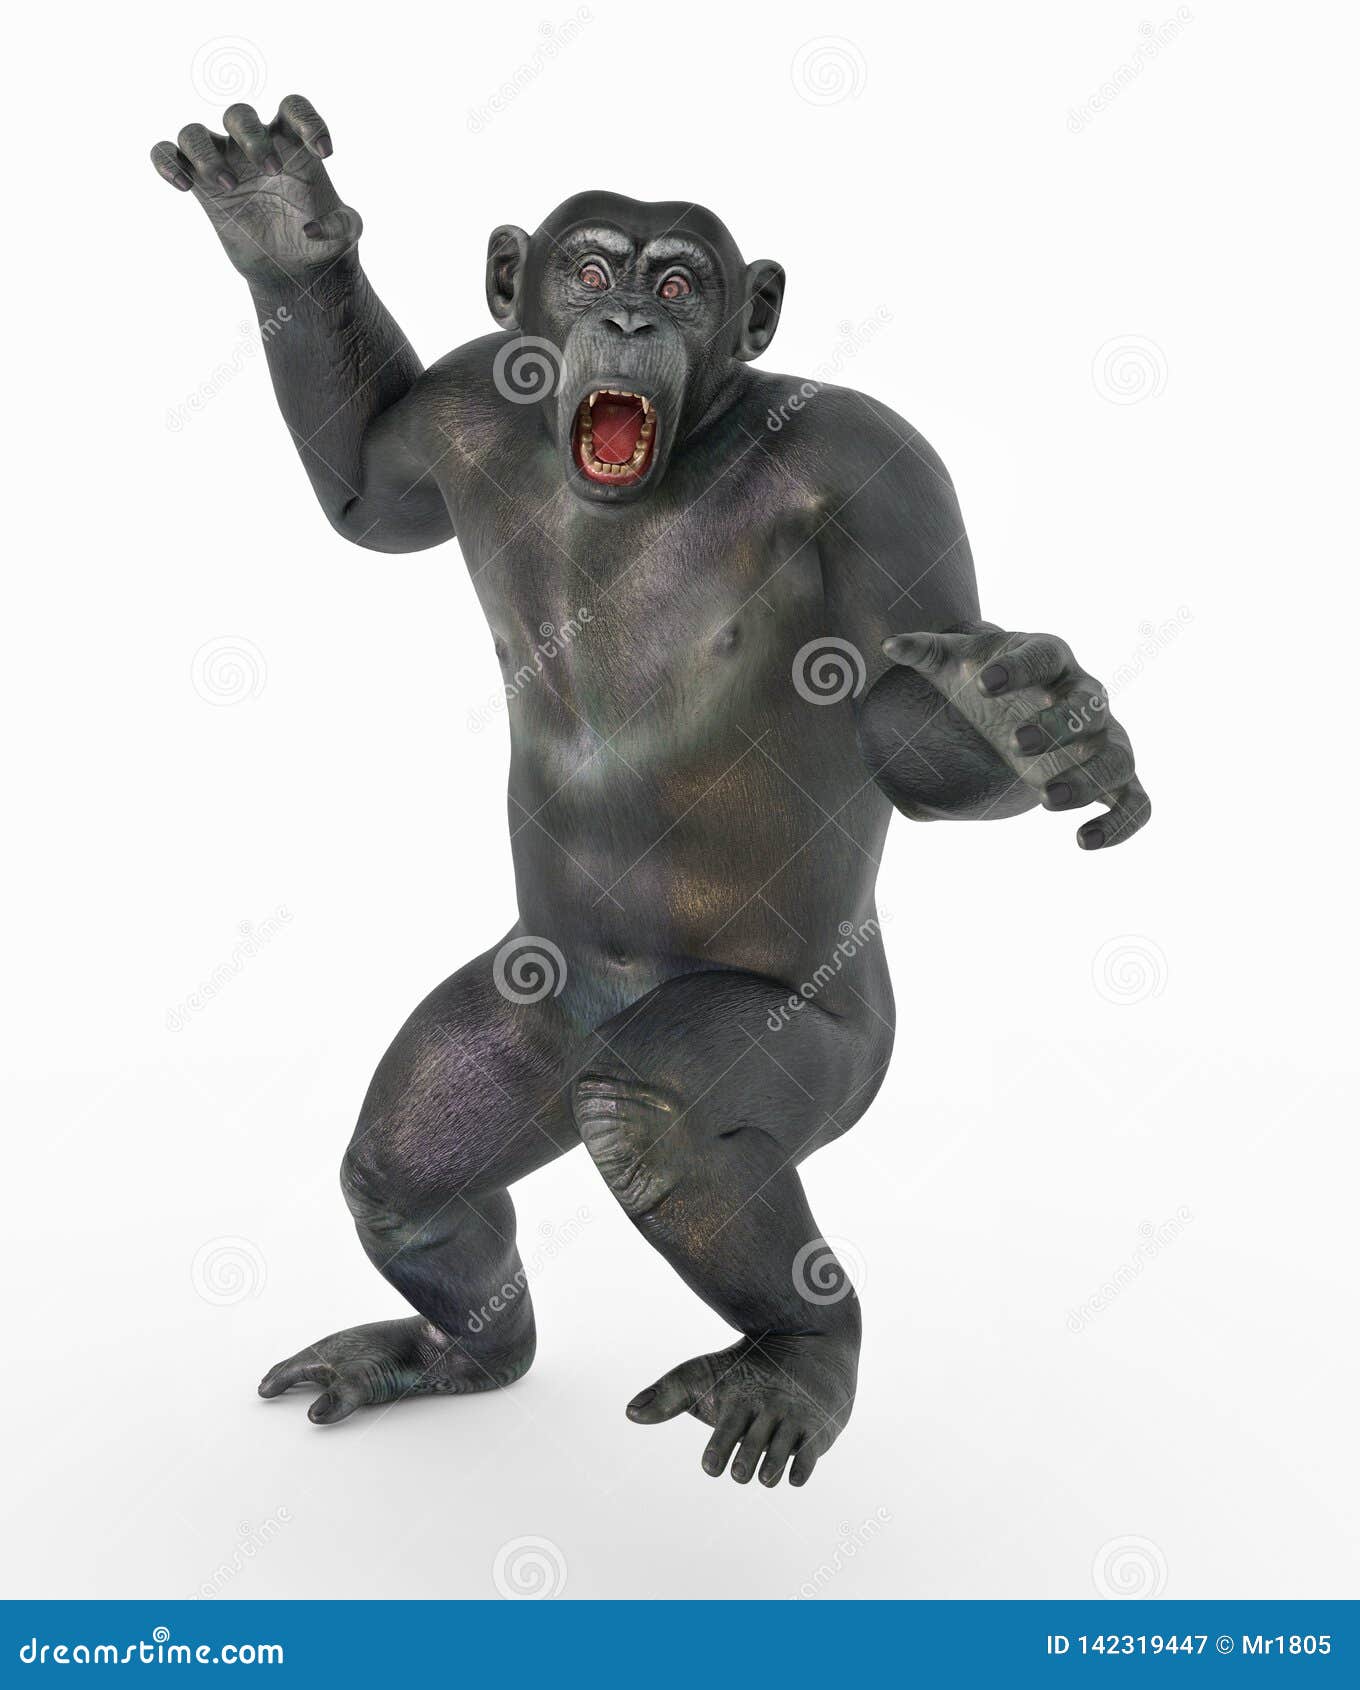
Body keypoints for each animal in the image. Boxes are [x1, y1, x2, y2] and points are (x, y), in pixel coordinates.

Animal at [152, 95, 1148, 1489]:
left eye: (681, 283)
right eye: (588, 270)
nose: (627, 318)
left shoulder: (880, 464)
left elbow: (911, 699)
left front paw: (1012, 721)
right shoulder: (460, 402)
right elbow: (364, 490)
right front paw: (281, 225)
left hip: (838, 1057)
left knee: (657, 1125)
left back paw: (803, 1355)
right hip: (525, 1012)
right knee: (405, 1175)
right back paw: (459, 1353)